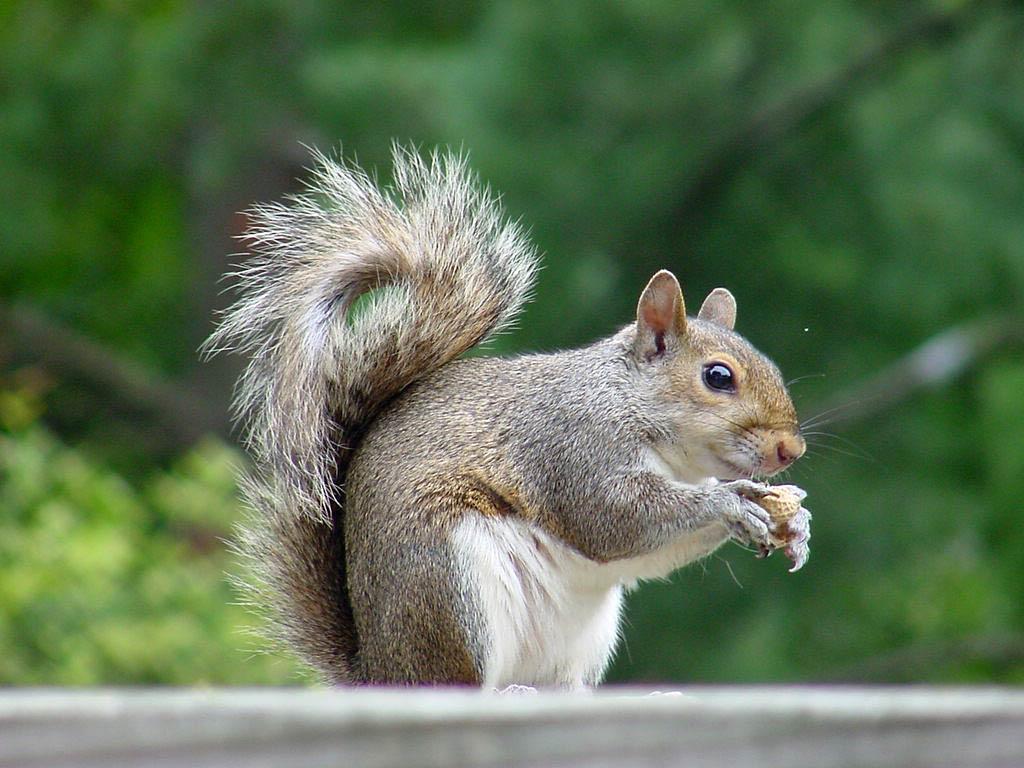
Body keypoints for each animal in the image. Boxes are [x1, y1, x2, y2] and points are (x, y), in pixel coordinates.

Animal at [206, 145, 811, 689]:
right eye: (718, 377)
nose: (791, 450)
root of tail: (380, 672)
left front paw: (792, 521)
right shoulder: (571, 446)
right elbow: (615, 518)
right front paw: (729, 501)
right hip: (454, 587)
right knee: (460, 684)